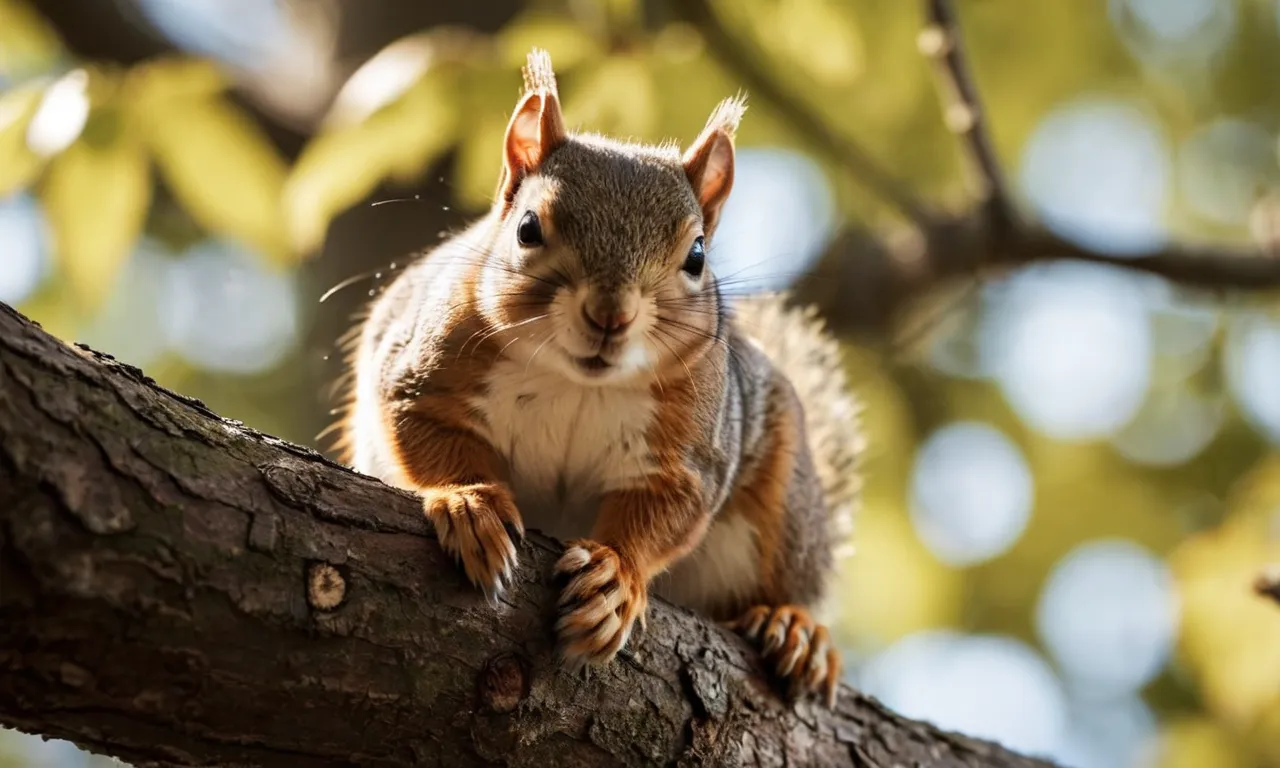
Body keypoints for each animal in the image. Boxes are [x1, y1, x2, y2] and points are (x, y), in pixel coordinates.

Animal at [334, 48, 862, 708]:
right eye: (527, 228)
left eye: (697, 256)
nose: (611, 315)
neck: (577, 382)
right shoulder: (421, 375)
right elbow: (422, 437)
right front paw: (470, 503)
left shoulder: (690, 452)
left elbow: (665, 514)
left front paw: (615, 579)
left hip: (783, 502)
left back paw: (795, 627)